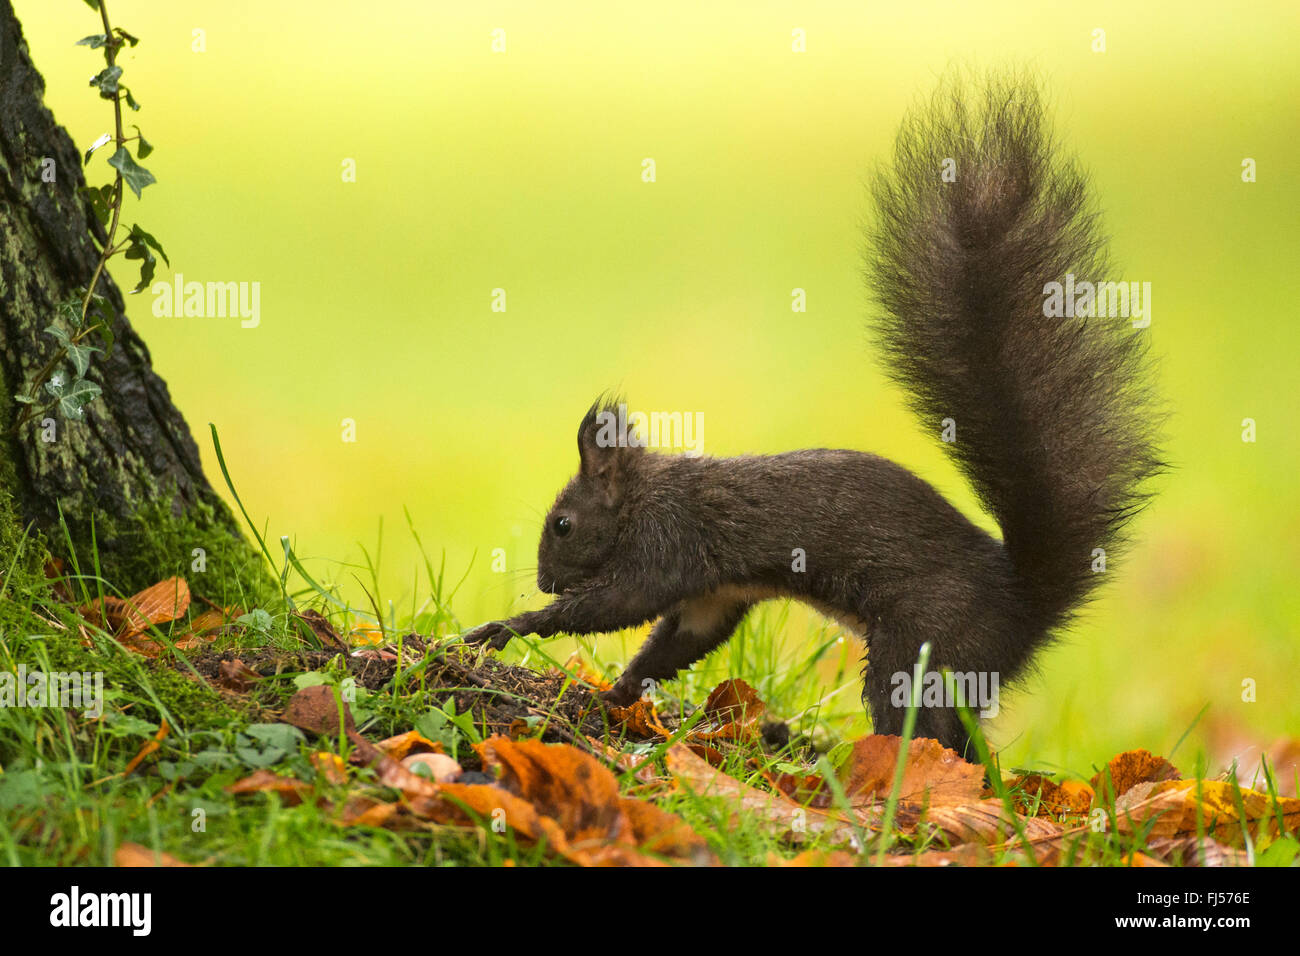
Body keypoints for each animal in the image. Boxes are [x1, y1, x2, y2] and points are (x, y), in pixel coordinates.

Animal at [466, 73, 1163, 756]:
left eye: (561, 524)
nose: (544, 581)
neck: (646, 493)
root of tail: (1021, 604)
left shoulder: (666, 543)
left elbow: (618, 603)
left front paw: (513, 625)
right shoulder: (715, 591)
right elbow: (677, 640)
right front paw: (617, 694)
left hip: (923, 642)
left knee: (923, 721)